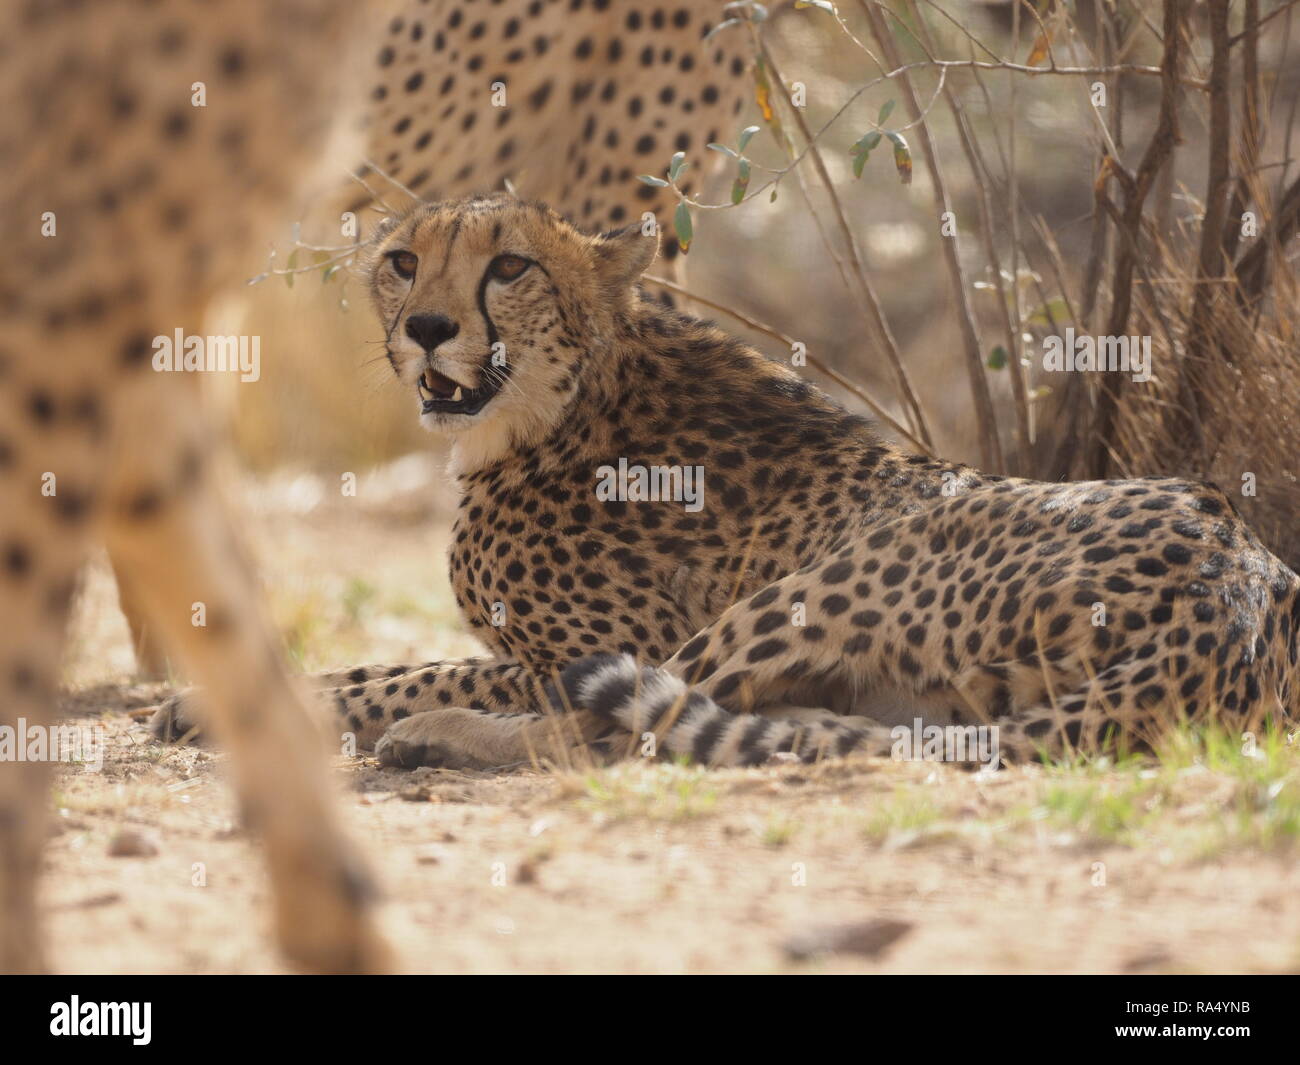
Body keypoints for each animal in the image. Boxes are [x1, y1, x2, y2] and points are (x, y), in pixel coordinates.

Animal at [154, 193, 1300, 771]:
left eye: (509, 267)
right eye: (402, 261)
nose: (429, 327)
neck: (567, 398)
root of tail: (1237, 580)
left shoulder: (595, 645)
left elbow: (428, 673)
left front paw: (329, 709)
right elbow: (387, 658)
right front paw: (209, 698)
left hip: (835, 573)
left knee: (613, 732)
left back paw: (433, 742)